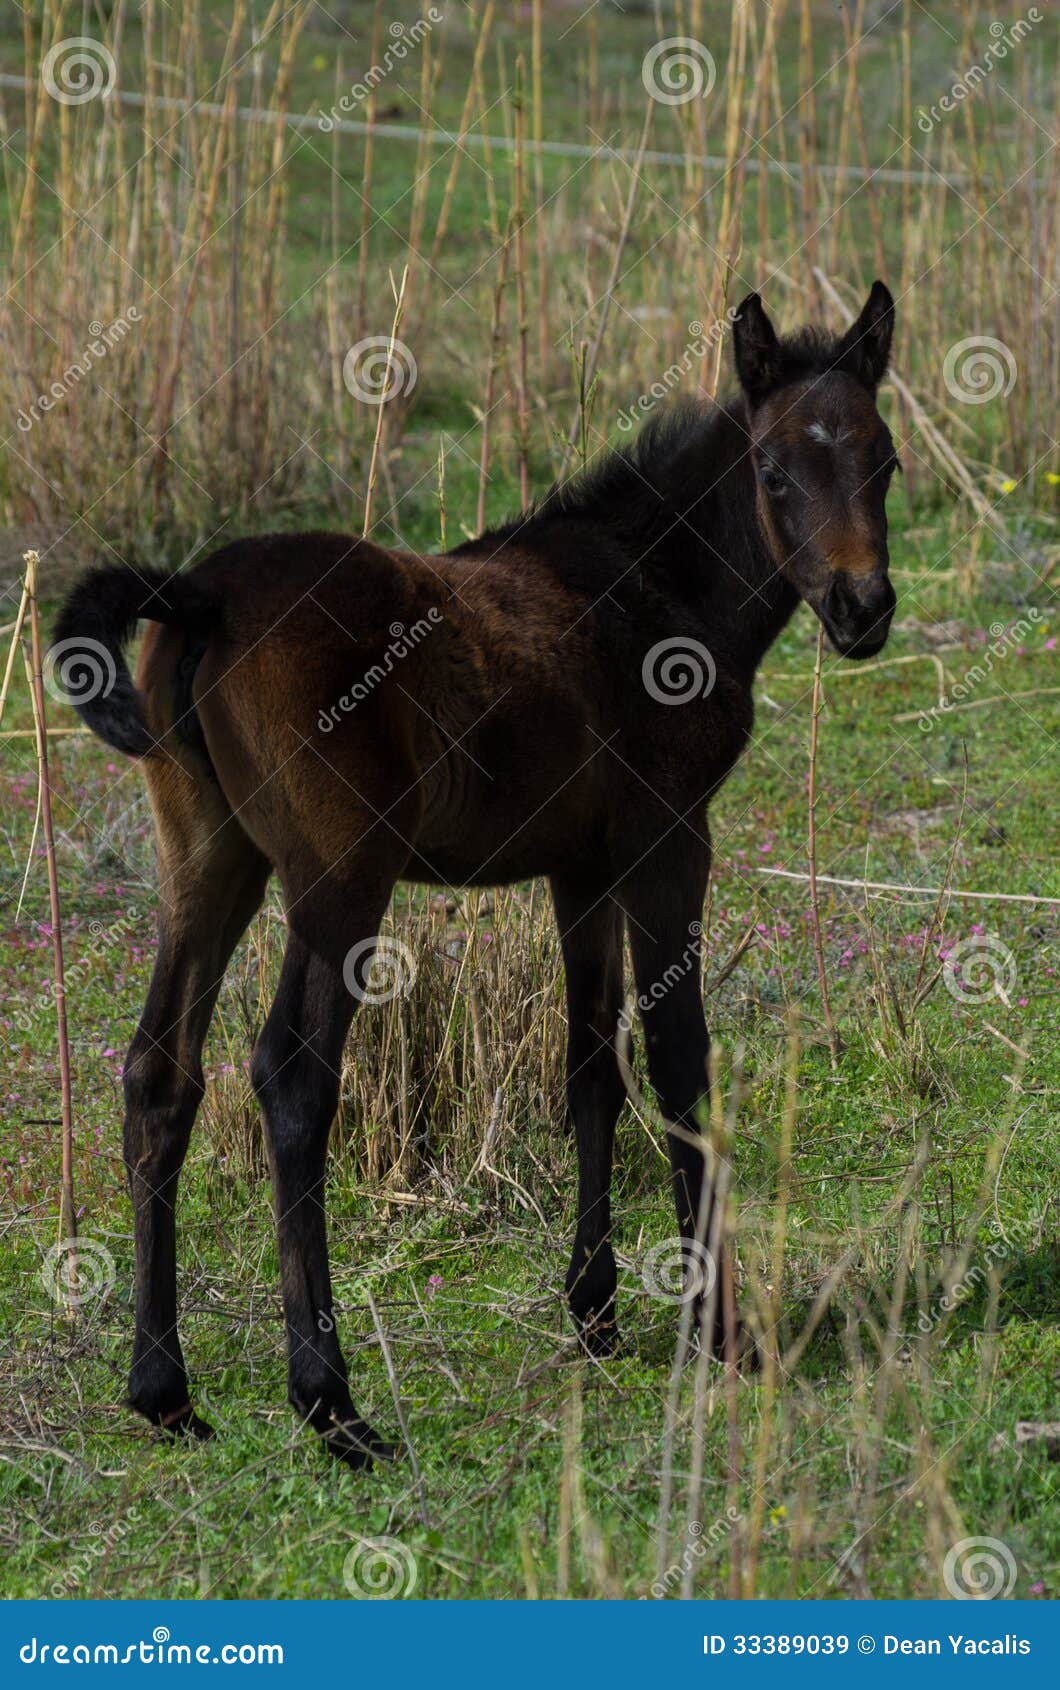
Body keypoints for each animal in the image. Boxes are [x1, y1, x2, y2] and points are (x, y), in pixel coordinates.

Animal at [53, 283, 899, 1468]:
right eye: (774, 471)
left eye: (885, 460)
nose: (864, 607)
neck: (650, 590)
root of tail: (197, 592)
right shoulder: (668, 842)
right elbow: (680, 1065)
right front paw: (720, 1330)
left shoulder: (580, 869)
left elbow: (591, 1066)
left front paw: (594, 1313)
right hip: (338, 876)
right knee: (290, 1076)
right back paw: (331, 1402)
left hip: (207, 859)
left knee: (158, 1071)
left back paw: (163, 1389)